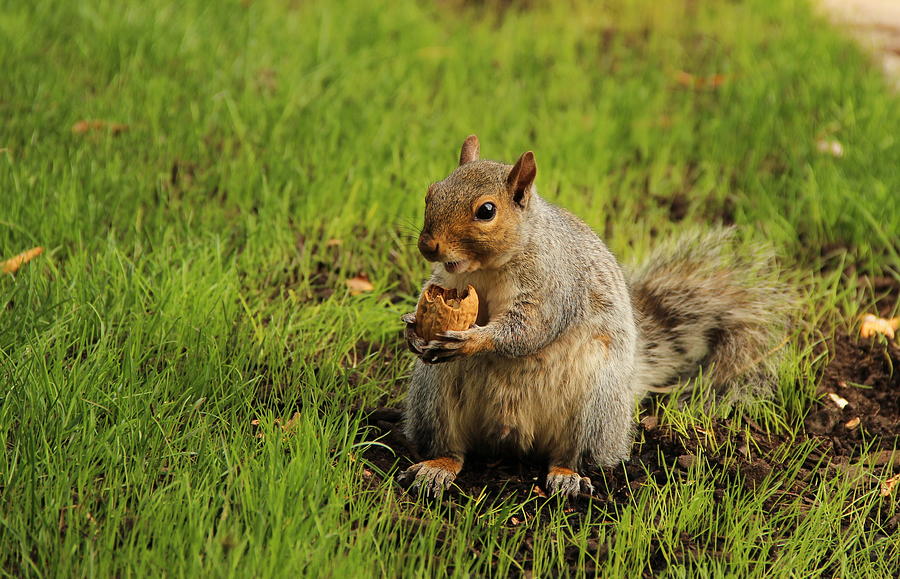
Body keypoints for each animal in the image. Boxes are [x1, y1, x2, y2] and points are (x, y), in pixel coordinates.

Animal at [397, 135, 790, 498]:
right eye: (432, 192)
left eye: (486, 211)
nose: (428, 245)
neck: (488, 267)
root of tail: (511, 439)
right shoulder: (449, 281)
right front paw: (413, 329)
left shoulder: (554, 285)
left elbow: (529, 329)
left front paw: (474, 338)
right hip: (433, 395)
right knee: (453, 448)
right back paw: (437, 467)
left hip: (594, 403)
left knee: (573, 455)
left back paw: (567, 476)